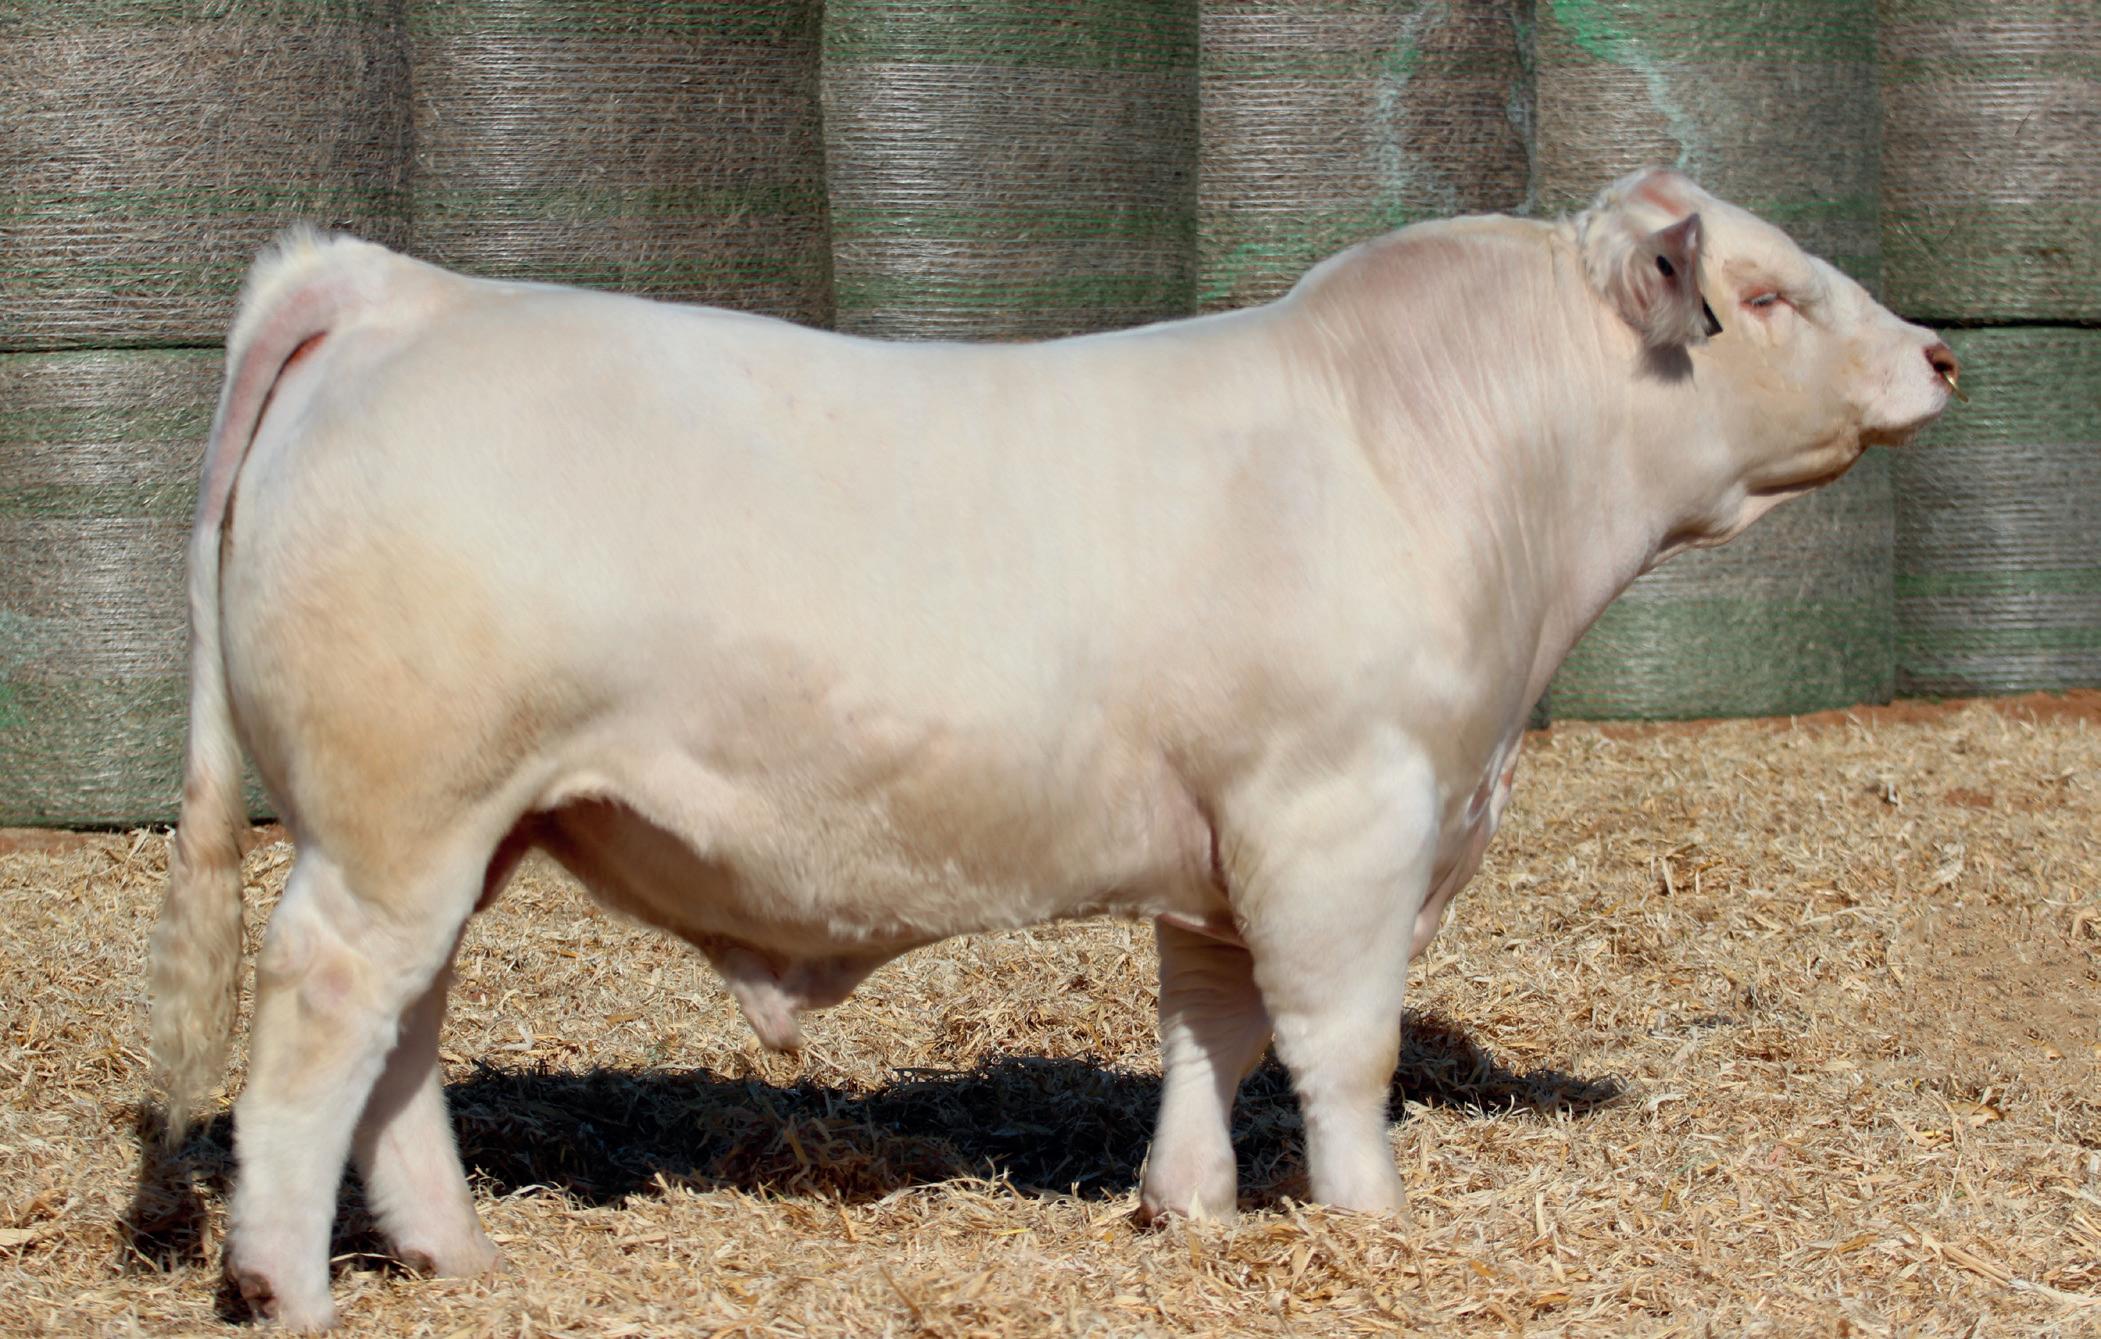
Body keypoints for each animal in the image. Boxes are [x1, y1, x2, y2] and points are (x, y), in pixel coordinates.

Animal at [148, 168, 1956, 1328]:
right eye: (1768, 290)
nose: (1940, 353)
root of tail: (397, 290)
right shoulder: (1340, 810)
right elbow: (1341, 1044)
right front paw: (1367, 1224)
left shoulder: (1225, 842)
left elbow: (1210, 1028)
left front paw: (1186, 1207)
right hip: (397, 817)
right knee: (324, 1018)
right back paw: (283, 1282)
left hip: (455, 829)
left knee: (403, 1031)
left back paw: (451, 1253)